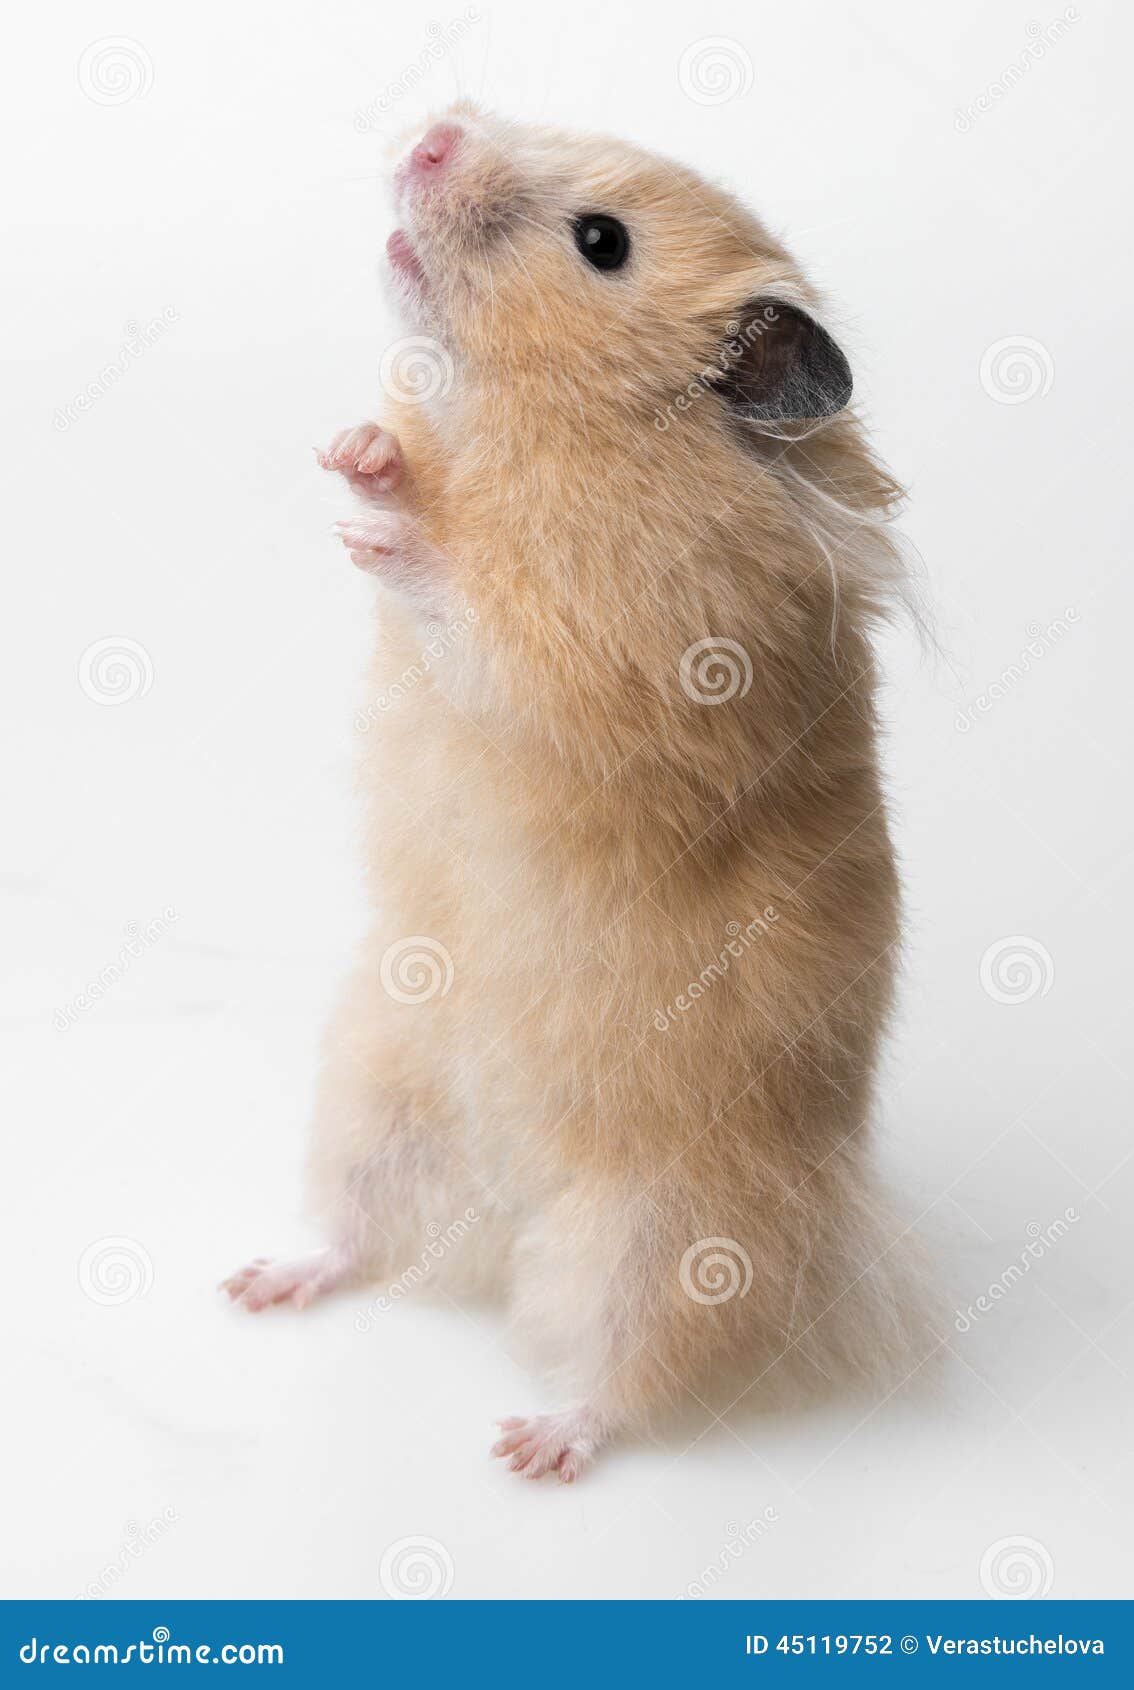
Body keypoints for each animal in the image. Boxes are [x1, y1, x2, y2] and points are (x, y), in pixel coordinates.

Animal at [222, 106, 923, 1483]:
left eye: (602, 242)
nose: (434, 135)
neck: (543, 422)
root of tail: (510, 1197)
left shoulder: (619, 656)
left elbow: (474, 610)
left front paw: (390, 529)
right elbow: (411, 510)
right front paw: (360, 455)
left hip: (659, 1232)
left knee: (626, 1362)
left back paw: (533, 1445)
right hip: (376, 1099)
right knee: (363, 1237)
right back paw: (261, 1281)